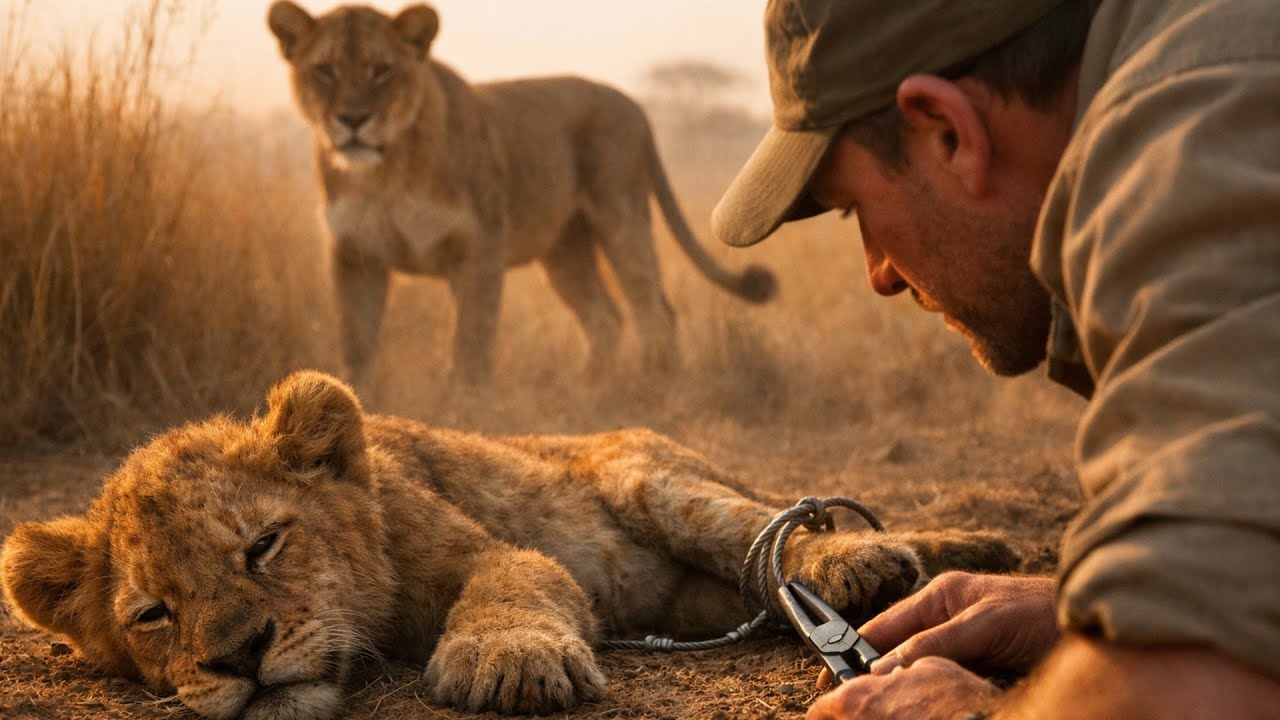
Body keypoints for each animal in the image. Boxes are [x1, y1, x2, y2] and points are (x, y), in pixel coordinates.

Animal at [1, 371, 1017, 719]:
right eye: (153, 614)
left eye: (263, 546)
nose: (240, 658)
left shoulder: (497, 554)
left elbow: (512, 588)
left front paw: (510, 664)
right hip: (691, 595)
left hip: (647, 476)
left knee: (768, 533)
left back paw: (860, 565)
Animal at [266, 2, 777, 384]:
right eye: (324, 70)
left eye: (381, 70)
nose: (353, 119)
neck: (387, 170)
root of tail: (632, 102)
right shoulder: (354, 254)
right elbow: (356, 341)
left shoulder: (480, 246)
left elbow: (471, 342)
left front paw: (467, 410)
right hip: (564, 249)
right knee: (604, 317)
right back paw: (589, 390)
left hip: (621, 217)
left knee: (654, 308)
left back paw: (657, 389)